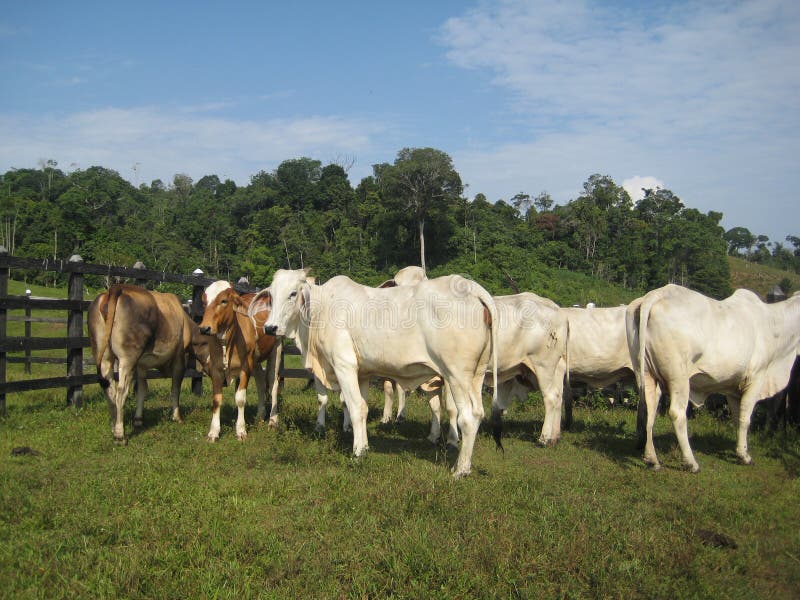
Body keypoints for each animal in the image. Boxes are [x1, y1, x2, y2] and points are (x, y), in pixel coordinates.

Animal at [88, 284, 201, 444]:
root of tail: (116, 288)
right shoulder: (180, 357)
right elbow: (175, 388)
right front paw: (177, 417)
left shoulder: (141, 365)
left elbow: (141, 390)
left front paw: (138, 419)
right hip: (127, 358)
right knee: (121, 392)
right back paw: (119, 434)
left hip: (103, 355)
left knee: (109, 389)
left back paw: (114, 427)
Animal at [198, 286, 281, 441]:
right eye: (204, 302)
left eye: (224, 301)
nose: (204, 328)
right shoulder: (216, 368)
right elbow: (217, 399)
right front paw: (213, 432)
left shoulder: (245, 367)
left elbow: (240, 399)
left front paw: (241, 431)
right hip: (255, 359)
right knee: (261, 382)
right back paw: (259, 416)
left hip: (276, 348)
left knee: (273, 383)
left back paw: (273, 421)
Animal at [257, 268, 498, 478]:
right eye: (271, 294)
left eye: (293, 293)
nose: (270, 328)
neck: (321, 309)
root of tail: (470, 287)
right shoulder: (362, 374)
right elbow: (363, 409)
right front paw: (363, 448)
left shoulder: (344, 366)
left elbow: (354, 408)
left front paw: (356, 454)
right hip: (475, 376)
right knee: (477, 413)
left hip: (456, 375)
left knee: (467, 416)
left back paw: (461, 470)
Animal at [626, 284, 800, 472]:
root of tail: (656, 295)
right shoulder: (756, 378)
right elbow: (745, 418)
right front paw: (745, 457)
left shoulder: (733, 388)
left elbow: (737, 418)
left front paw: (740, 451)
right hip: (678, 377)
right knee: (677, 413)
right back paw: (691, 462)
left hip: (646, 373)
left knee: (648, 409)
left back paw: (652, 459)